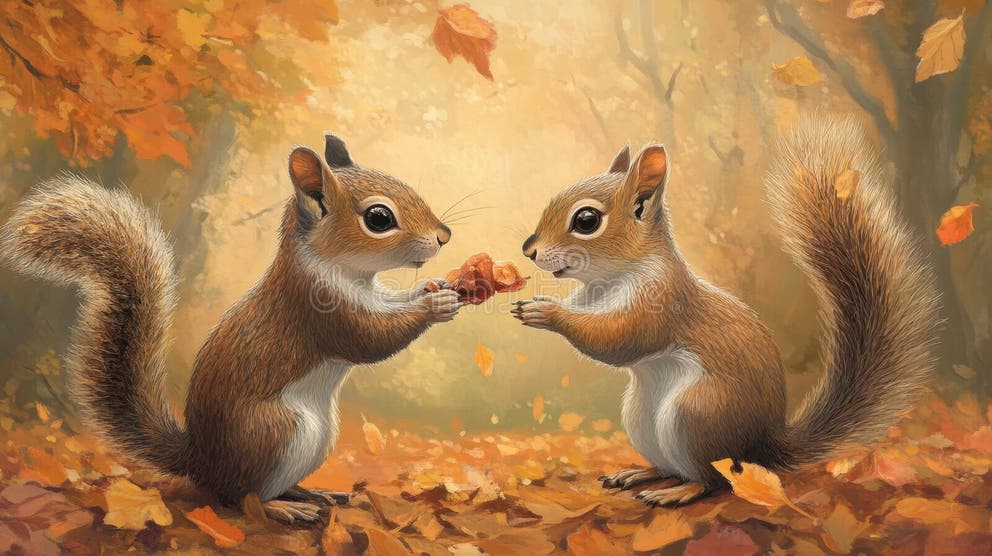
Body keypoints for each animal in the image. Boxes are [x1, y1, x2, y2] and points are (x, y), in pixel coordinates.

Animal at [1, 133, 464, 522]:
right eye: (379, 218)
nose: (445, 235)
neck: (341, 268)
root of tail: (201, 460)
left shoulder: (372, 295)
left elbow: (391, 305)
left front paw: (433, 287)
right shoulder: (318, 309)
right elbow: (371, 341)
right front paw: (435, 305)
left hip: (315, 439)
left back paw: (312, 494)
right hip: (274, 432)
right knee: (240, 497)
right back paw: (283, 509)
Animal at [514, 114, 939, 506]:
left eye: (587, 220)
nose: (528, 249)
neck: (610, 280)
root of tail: (758, 447)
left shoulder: (661, 300)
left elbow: (619, 340)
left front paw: (547, 314)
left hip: (697, 414)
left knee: (712, 479)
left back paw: (677, 493)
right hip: (641, 420)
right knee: (672, 468)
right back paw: (639, 474)